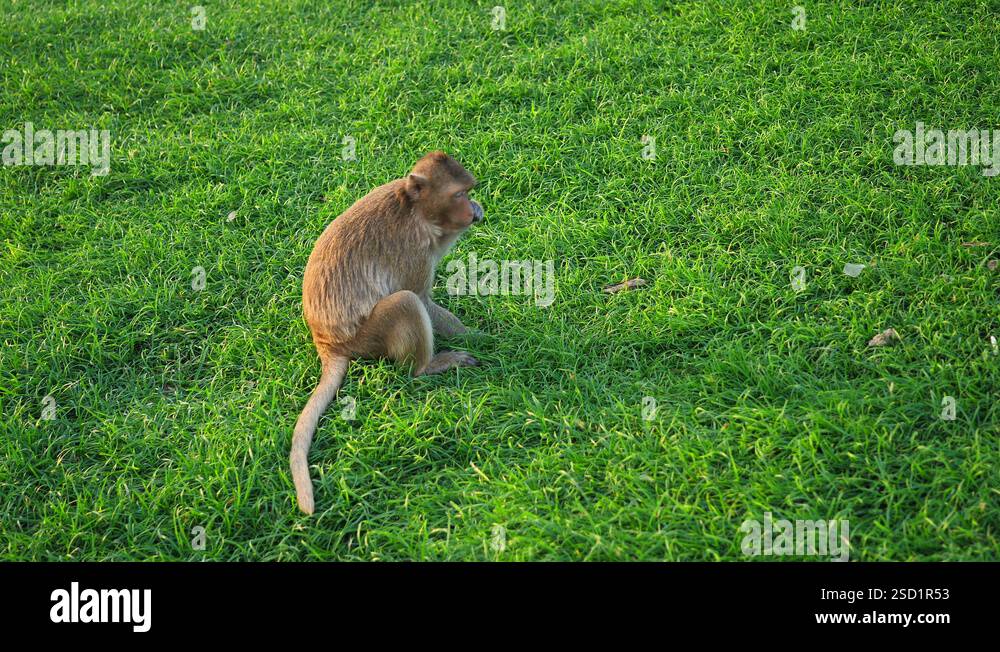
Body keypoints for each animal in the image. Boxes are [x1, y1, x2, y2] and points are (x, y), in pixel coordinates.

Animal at [290, 151, 484, 515]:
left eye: (467, 191)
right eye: (457, 195)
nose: (469, 209)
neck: (413, 208)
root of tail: (326, 341)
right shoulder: (414, 248)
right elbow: (420, 296)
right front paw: (477, 335)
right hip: (367, 337)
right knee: (405, 302)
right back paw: (427, 367)